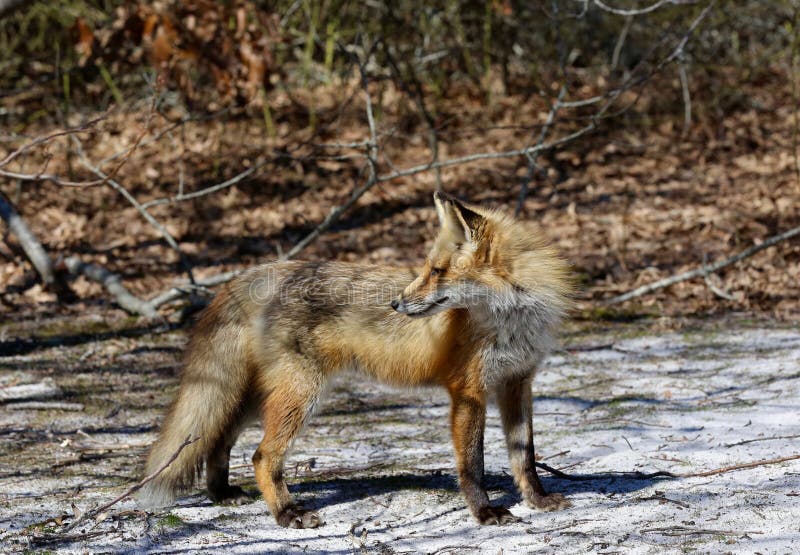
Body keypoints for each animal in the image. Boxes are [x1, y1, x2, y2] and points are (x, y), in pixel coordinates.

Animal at [140, 191, 572, 528]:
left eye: (436, 271)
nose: (396, 304)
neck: (510, 319)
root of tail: (263, 272)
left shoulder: (517, 382)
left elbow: (525, 455)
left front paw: (536, 500)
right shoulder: (468, 390)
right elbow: (473, 464)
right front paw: (484, 513)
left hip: (252, 395)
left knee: (218, 440)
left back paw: (223, 494)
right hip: (300, 394)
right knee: (261, 456)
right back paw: (287, 514)